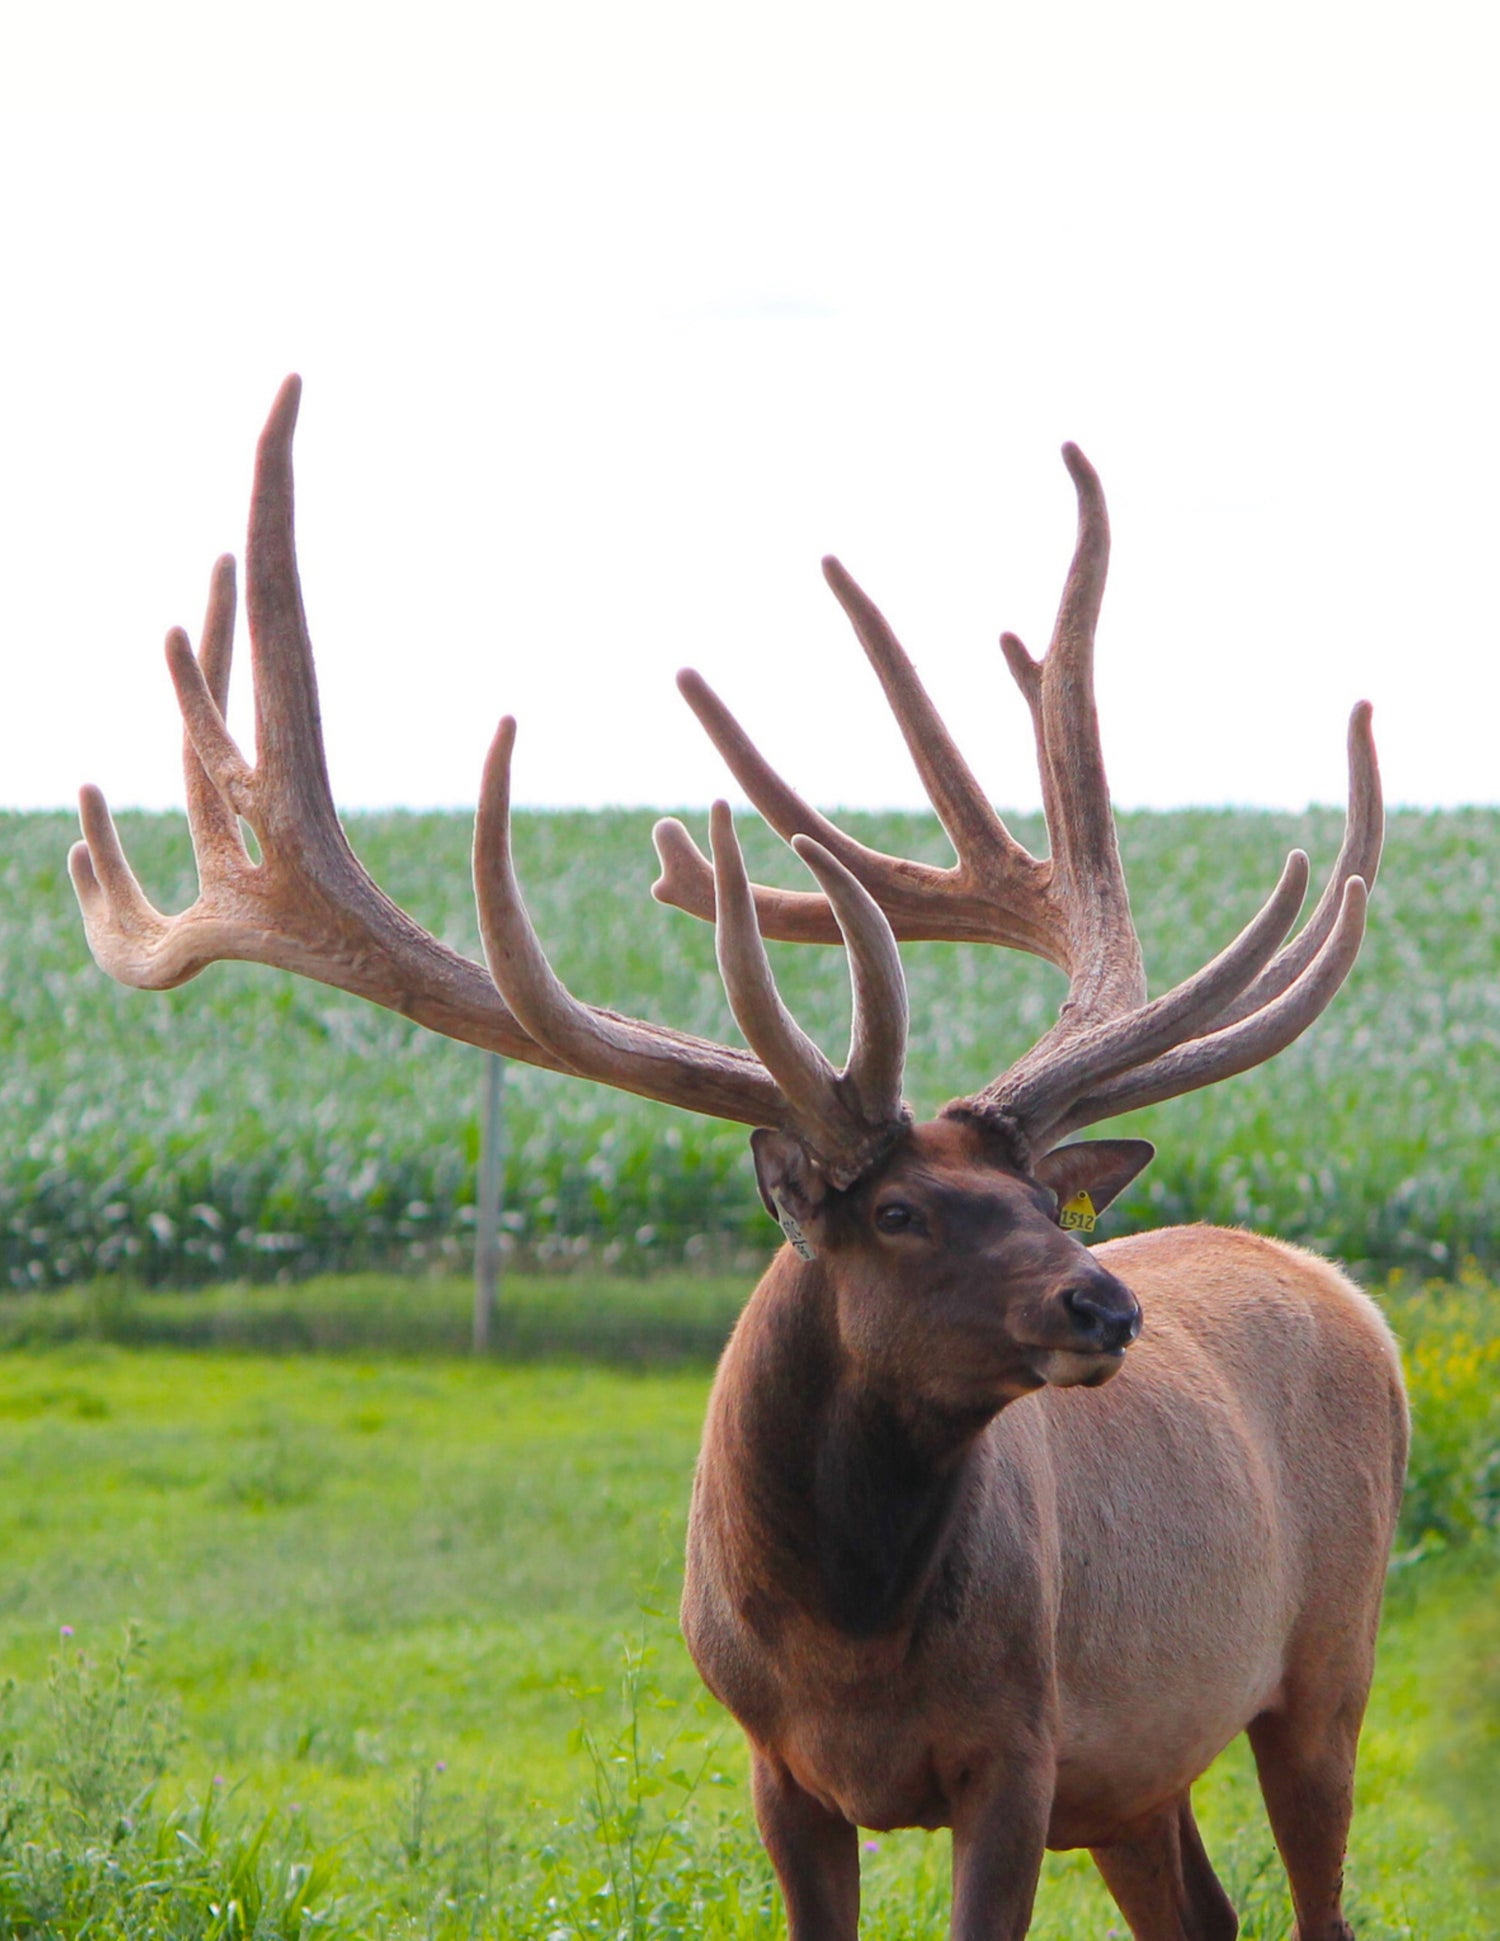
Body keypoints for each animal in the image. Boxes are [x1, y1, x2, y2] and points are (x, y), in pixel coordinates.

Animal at [71, 378, 1405, 1941]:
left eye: (1040, 1199)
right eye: (898, 1210)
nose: (1103, 1301)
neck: (846, 1644)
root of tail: (1346, 1291)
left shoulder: (1020, 1745)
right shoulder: (778, 1764)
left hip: (1325, 1668)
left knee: (1317, 1894)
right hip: (1140, 1772)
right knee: (1208, 1910)